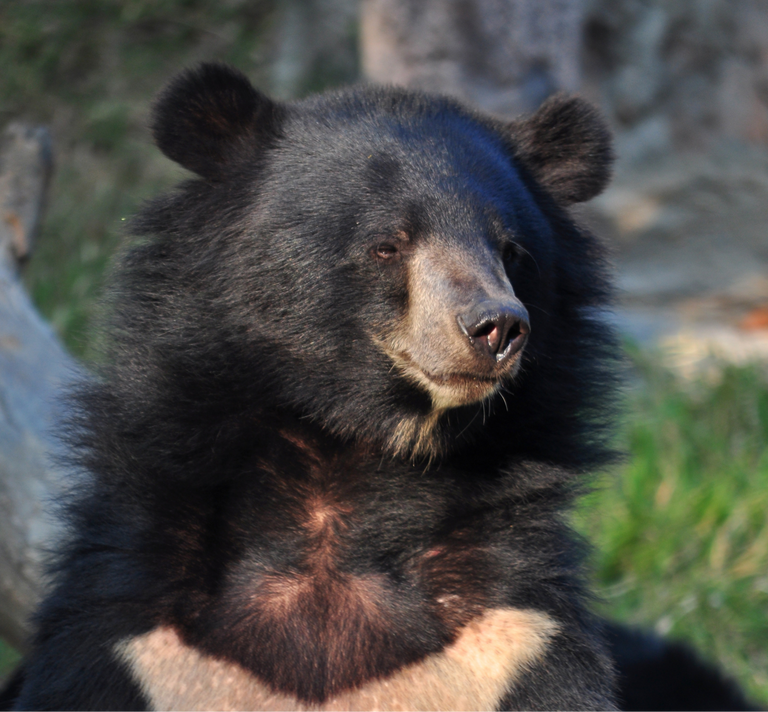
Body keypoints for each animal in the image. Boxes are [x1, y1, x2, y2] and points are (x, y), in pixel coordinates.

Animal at [8, 62, 619, 711]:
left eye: (512, 250)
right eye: (388, 244)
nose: (497, 326)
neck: (345, 461)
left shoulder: (513, 636)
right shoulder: (138, 640)